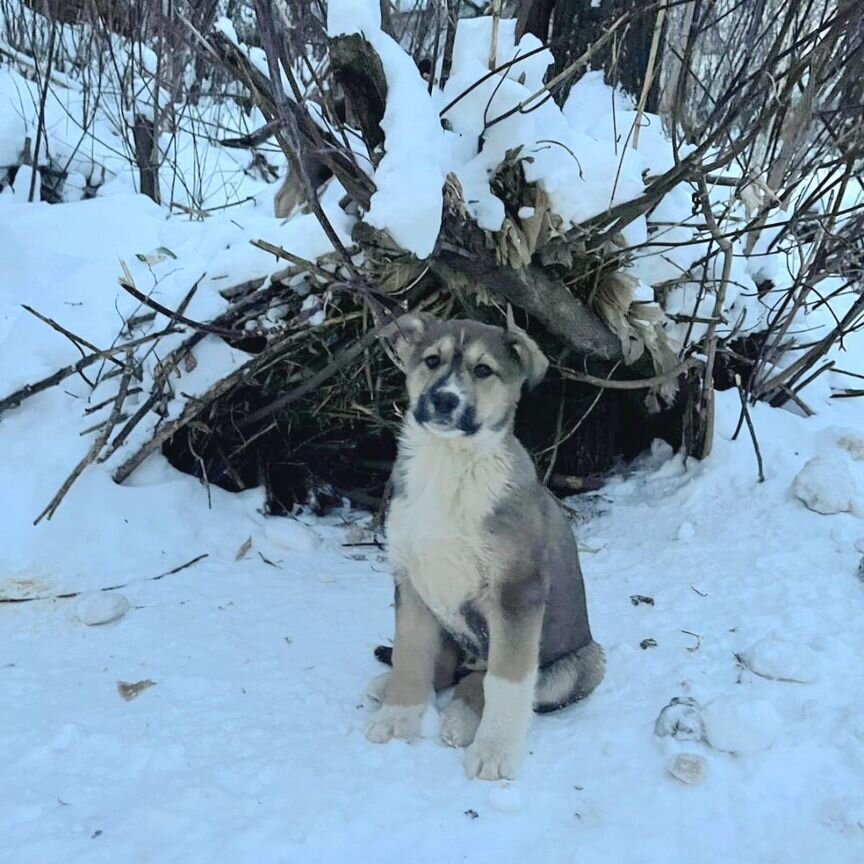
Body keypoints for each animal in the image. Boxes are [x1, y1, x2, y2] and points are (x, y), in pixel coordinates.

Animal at [364, 312, 600, 784]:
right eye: (431, 360)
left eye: (483, 370)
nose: (443, 400)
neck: (449, 462)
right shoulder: (410, 578)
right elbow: (412, 655)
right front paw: (398, 718)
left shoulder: (517, 593)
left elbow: (506, 682)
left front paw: (494, 753)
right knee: (443, 668)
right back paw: (390, 687)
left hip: (580, 663)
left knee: (491, 681)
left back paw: (460, 720)